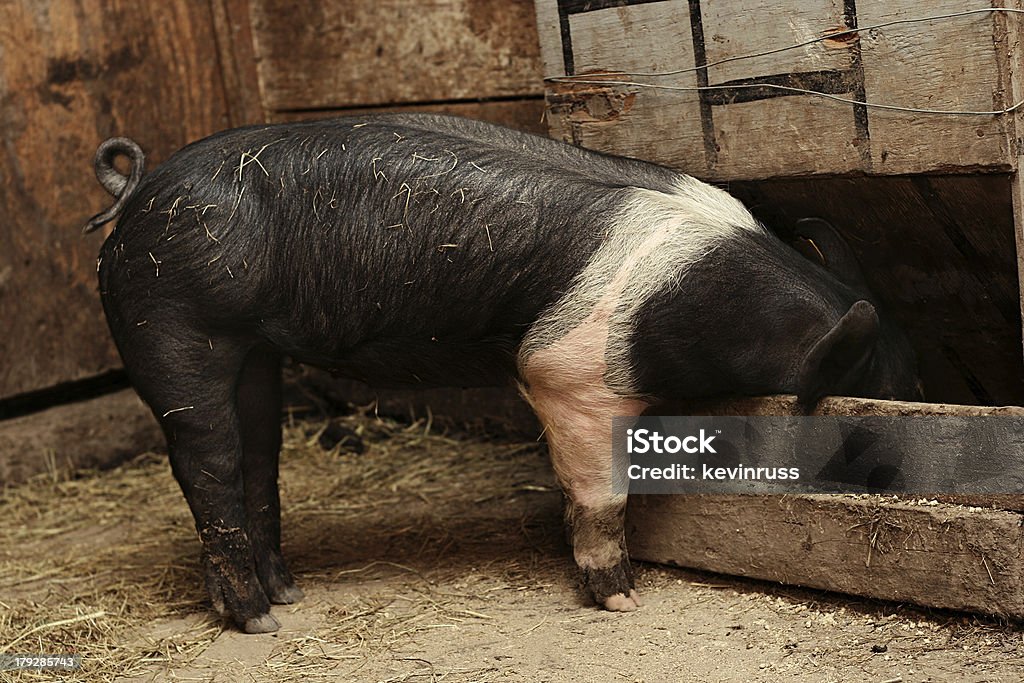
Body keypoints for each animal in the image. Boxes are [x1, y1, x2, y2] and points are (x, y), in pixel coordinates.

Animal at [85, 114, 918, 633]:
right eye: (862, 415)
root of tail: (136, 192)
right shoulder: (568, 372)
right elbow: (600, 492)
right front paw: (622, 601)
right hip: (172, 322)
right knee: (209, 464)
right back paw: (259, 620)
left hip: (253, 350)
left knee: (259, 456)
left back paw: (287, 592)